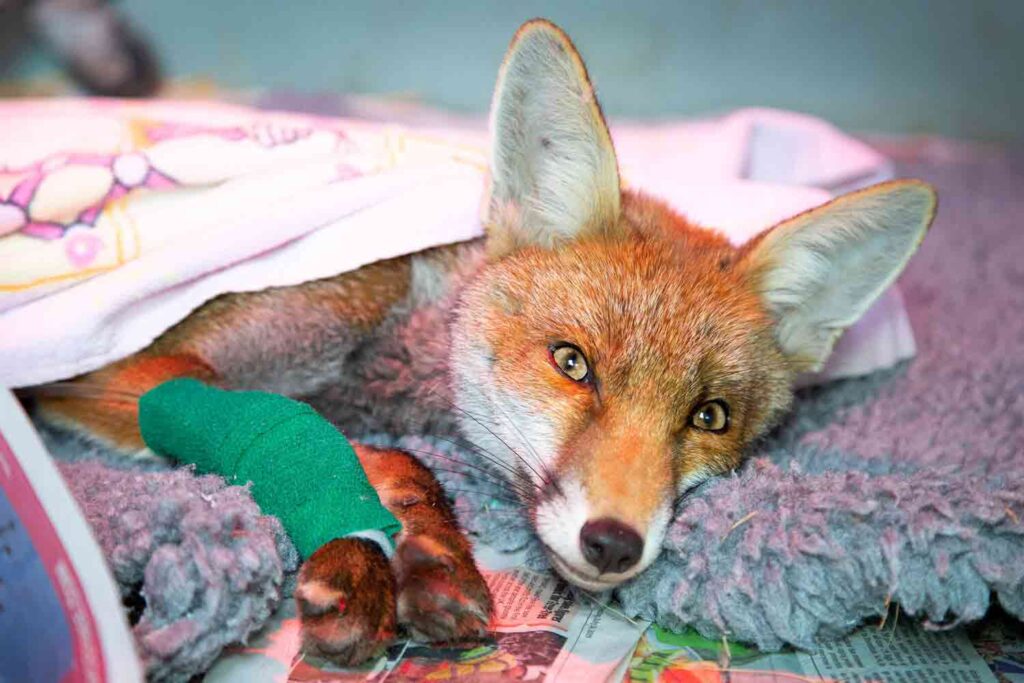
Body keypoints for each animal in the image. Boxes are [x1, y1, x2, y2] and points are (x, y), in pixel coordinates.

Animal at [31, 19, 936, 665]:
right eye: (573, 364)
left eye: (709, 416)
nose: (614, 544)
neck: (400, 324)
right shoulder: (127, 371)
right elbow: (343, 439)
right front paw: (366, 559)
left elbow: (390, 456)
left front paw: (424, 557)